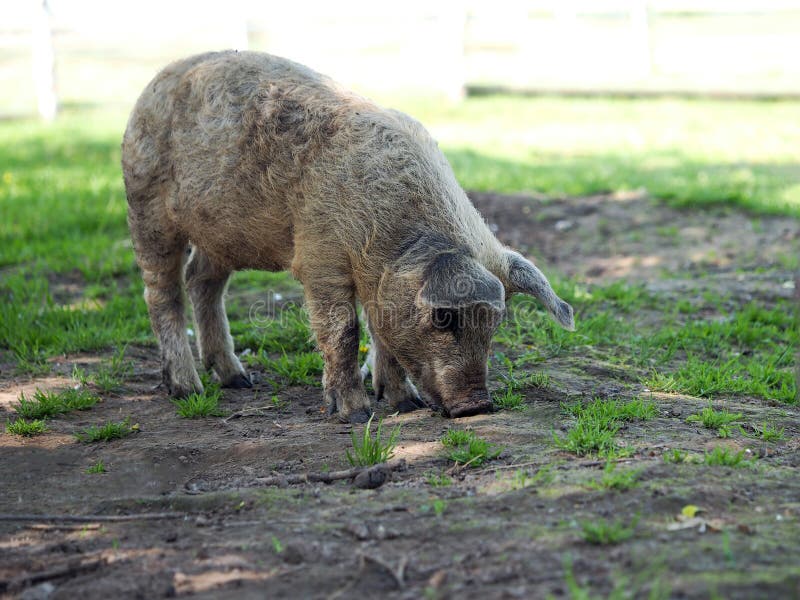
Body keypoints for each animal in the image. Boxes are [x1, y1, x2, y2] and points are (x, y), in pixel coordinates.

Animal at [122, 51, 575, 423]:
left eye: (496, 322)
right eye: (443, 318)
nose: (477, 406)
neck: (387, 243)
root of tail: (158, 79)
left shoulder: (380, 283)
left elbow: (384, 336)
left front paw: (404, 404)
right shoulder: (319, 259)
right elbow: (343, 330)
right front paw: (356, 415)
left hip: (218, 236)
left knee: (202, 281)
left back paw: (240, 381)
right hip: (145, 206)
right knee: (162, 293)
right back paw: (186, 390)